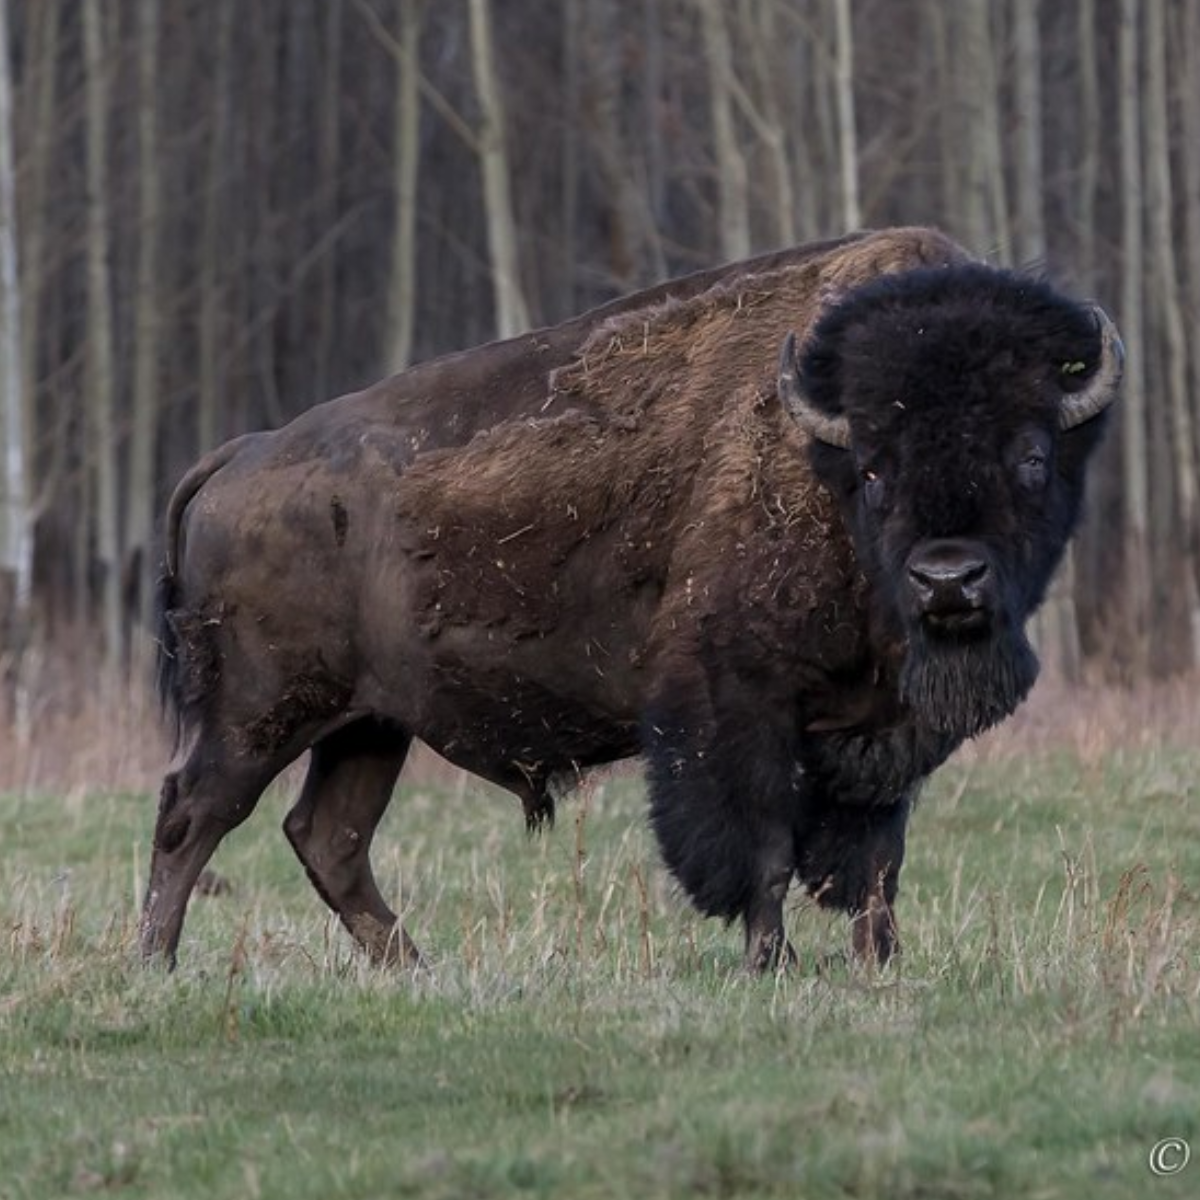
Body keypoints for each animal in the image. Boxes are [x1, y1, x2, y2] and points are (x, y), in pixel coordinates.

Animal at [141, 227, 1121, 973]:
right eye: (876, 468)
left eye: (1032, 454)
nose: (948, 577)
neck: (820, 456)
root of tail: (240, 455)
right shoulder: (735, 707)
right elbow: (764, 847)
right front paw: (772, 964)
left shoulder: (883, 735)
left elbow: (876, 862)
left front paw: (882, 964)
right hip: (258, 713)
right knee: (194, 814)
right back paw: (158, 964)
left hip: (370, 726)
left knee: (329, 836)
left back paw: (413, 968)